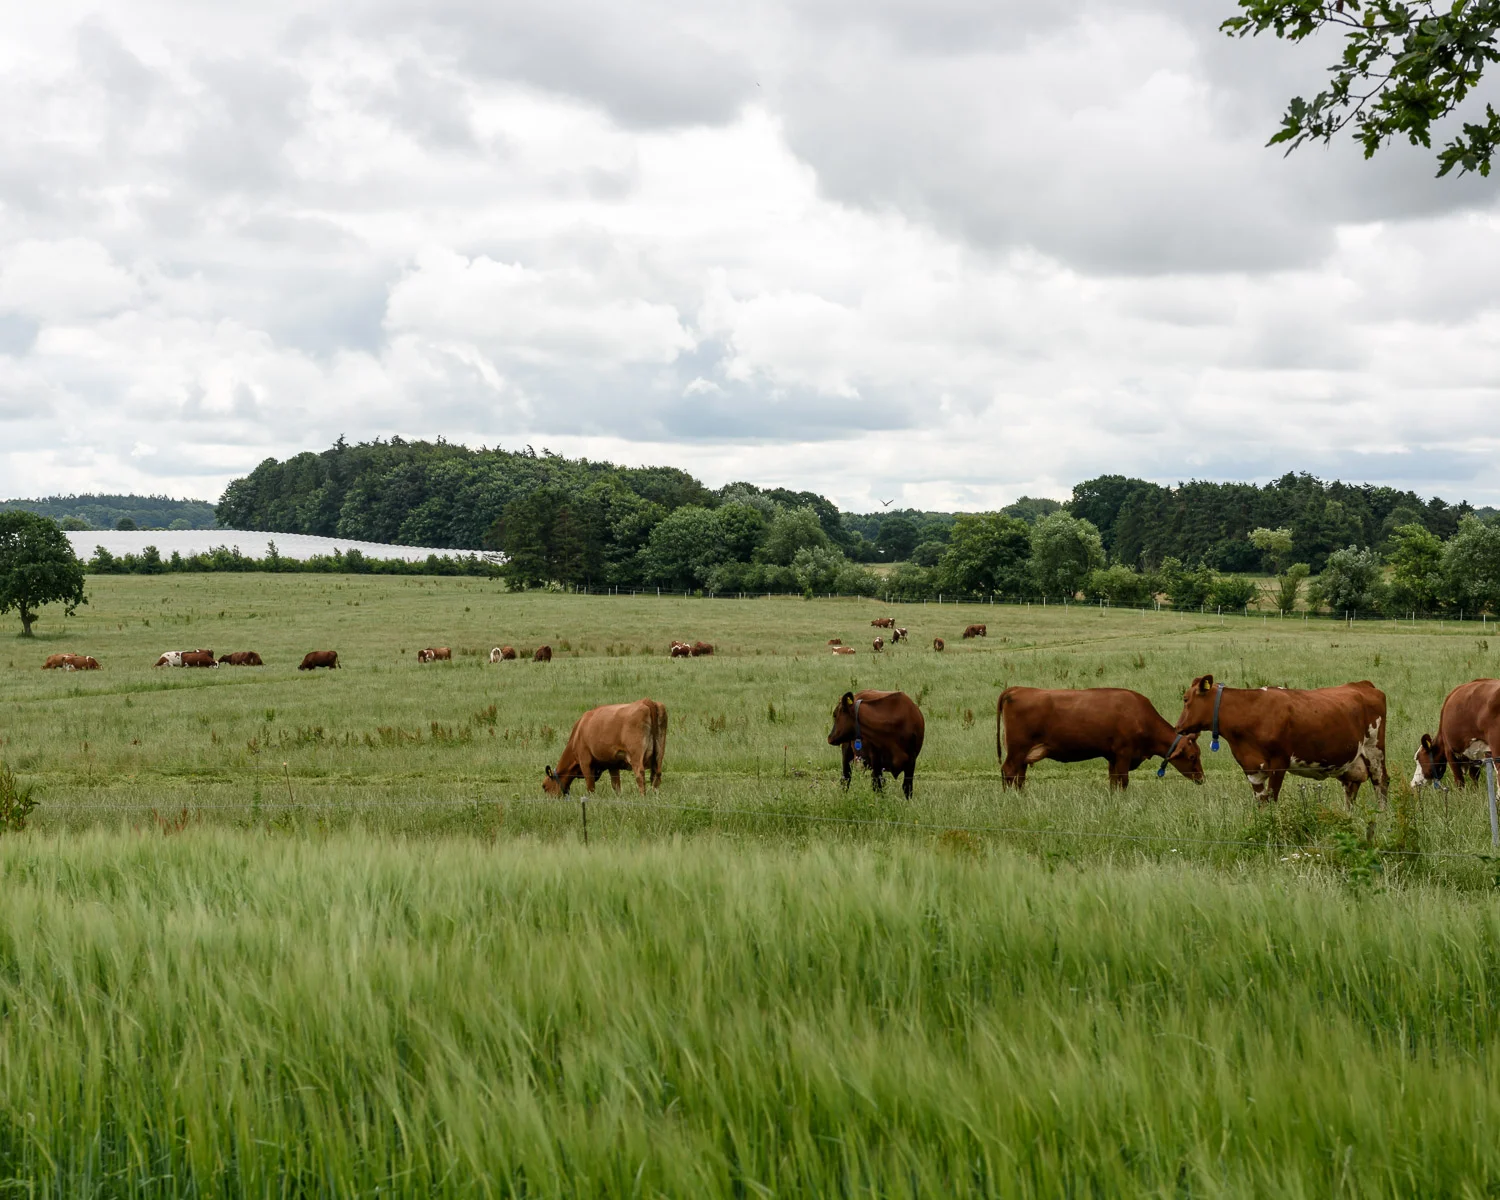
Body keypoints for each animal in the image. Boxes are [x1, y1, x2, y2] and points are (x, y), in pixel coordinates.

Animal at [998, 686, 1204, 790]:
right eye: (1192, 756)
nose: (1201, 778)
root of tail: (1017, 689)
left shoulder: (1113, 757)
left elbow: (1113, 782)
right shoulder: (1123, 753)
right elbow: (1123, 781)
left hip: (1023, 754)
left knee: (1019, 777)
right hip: (1017, 749)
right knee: (1008, 772)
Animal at [1173, 674, 1389, 808]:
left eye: (1185, 699)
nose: (1178, 727)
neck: (1249, 712)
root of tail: (1362, 684)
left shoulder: (1278, 762)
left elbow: (1271, 799)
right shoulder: (1251, 768)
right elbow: (1261, 802)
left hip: (1374, 751)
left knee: (1381, 783)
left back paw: (1383, 819)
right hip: (1350, 762)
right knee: (1351, 788)